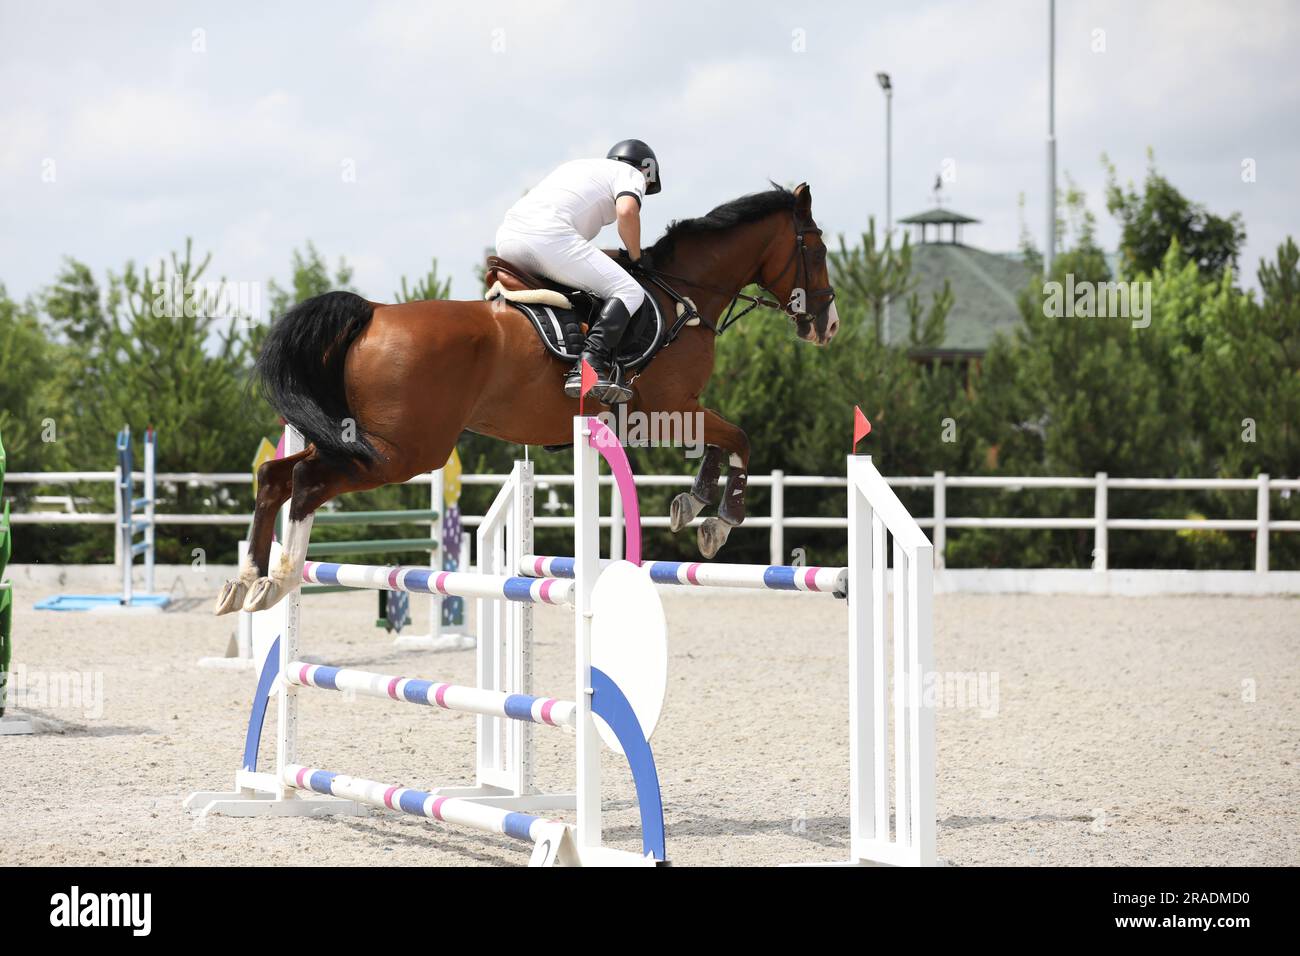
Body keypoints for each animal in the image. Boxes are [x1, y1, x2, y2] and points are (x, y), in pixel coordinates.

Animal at [218, 182, 839, 615]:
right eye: (816, 248)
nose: (827, 326)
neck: (683, 296)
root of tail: (372, 313)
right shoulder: (667, 409)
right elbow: (738, 438)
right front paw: (718, 520)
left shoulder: (675, 411)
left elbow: (723, 443)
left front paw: (694, 505)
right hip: (404, 452)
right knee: (306, 481)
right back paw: (281, 578)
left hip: (361, 439)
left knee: (274, 475)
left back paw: (246, 582)